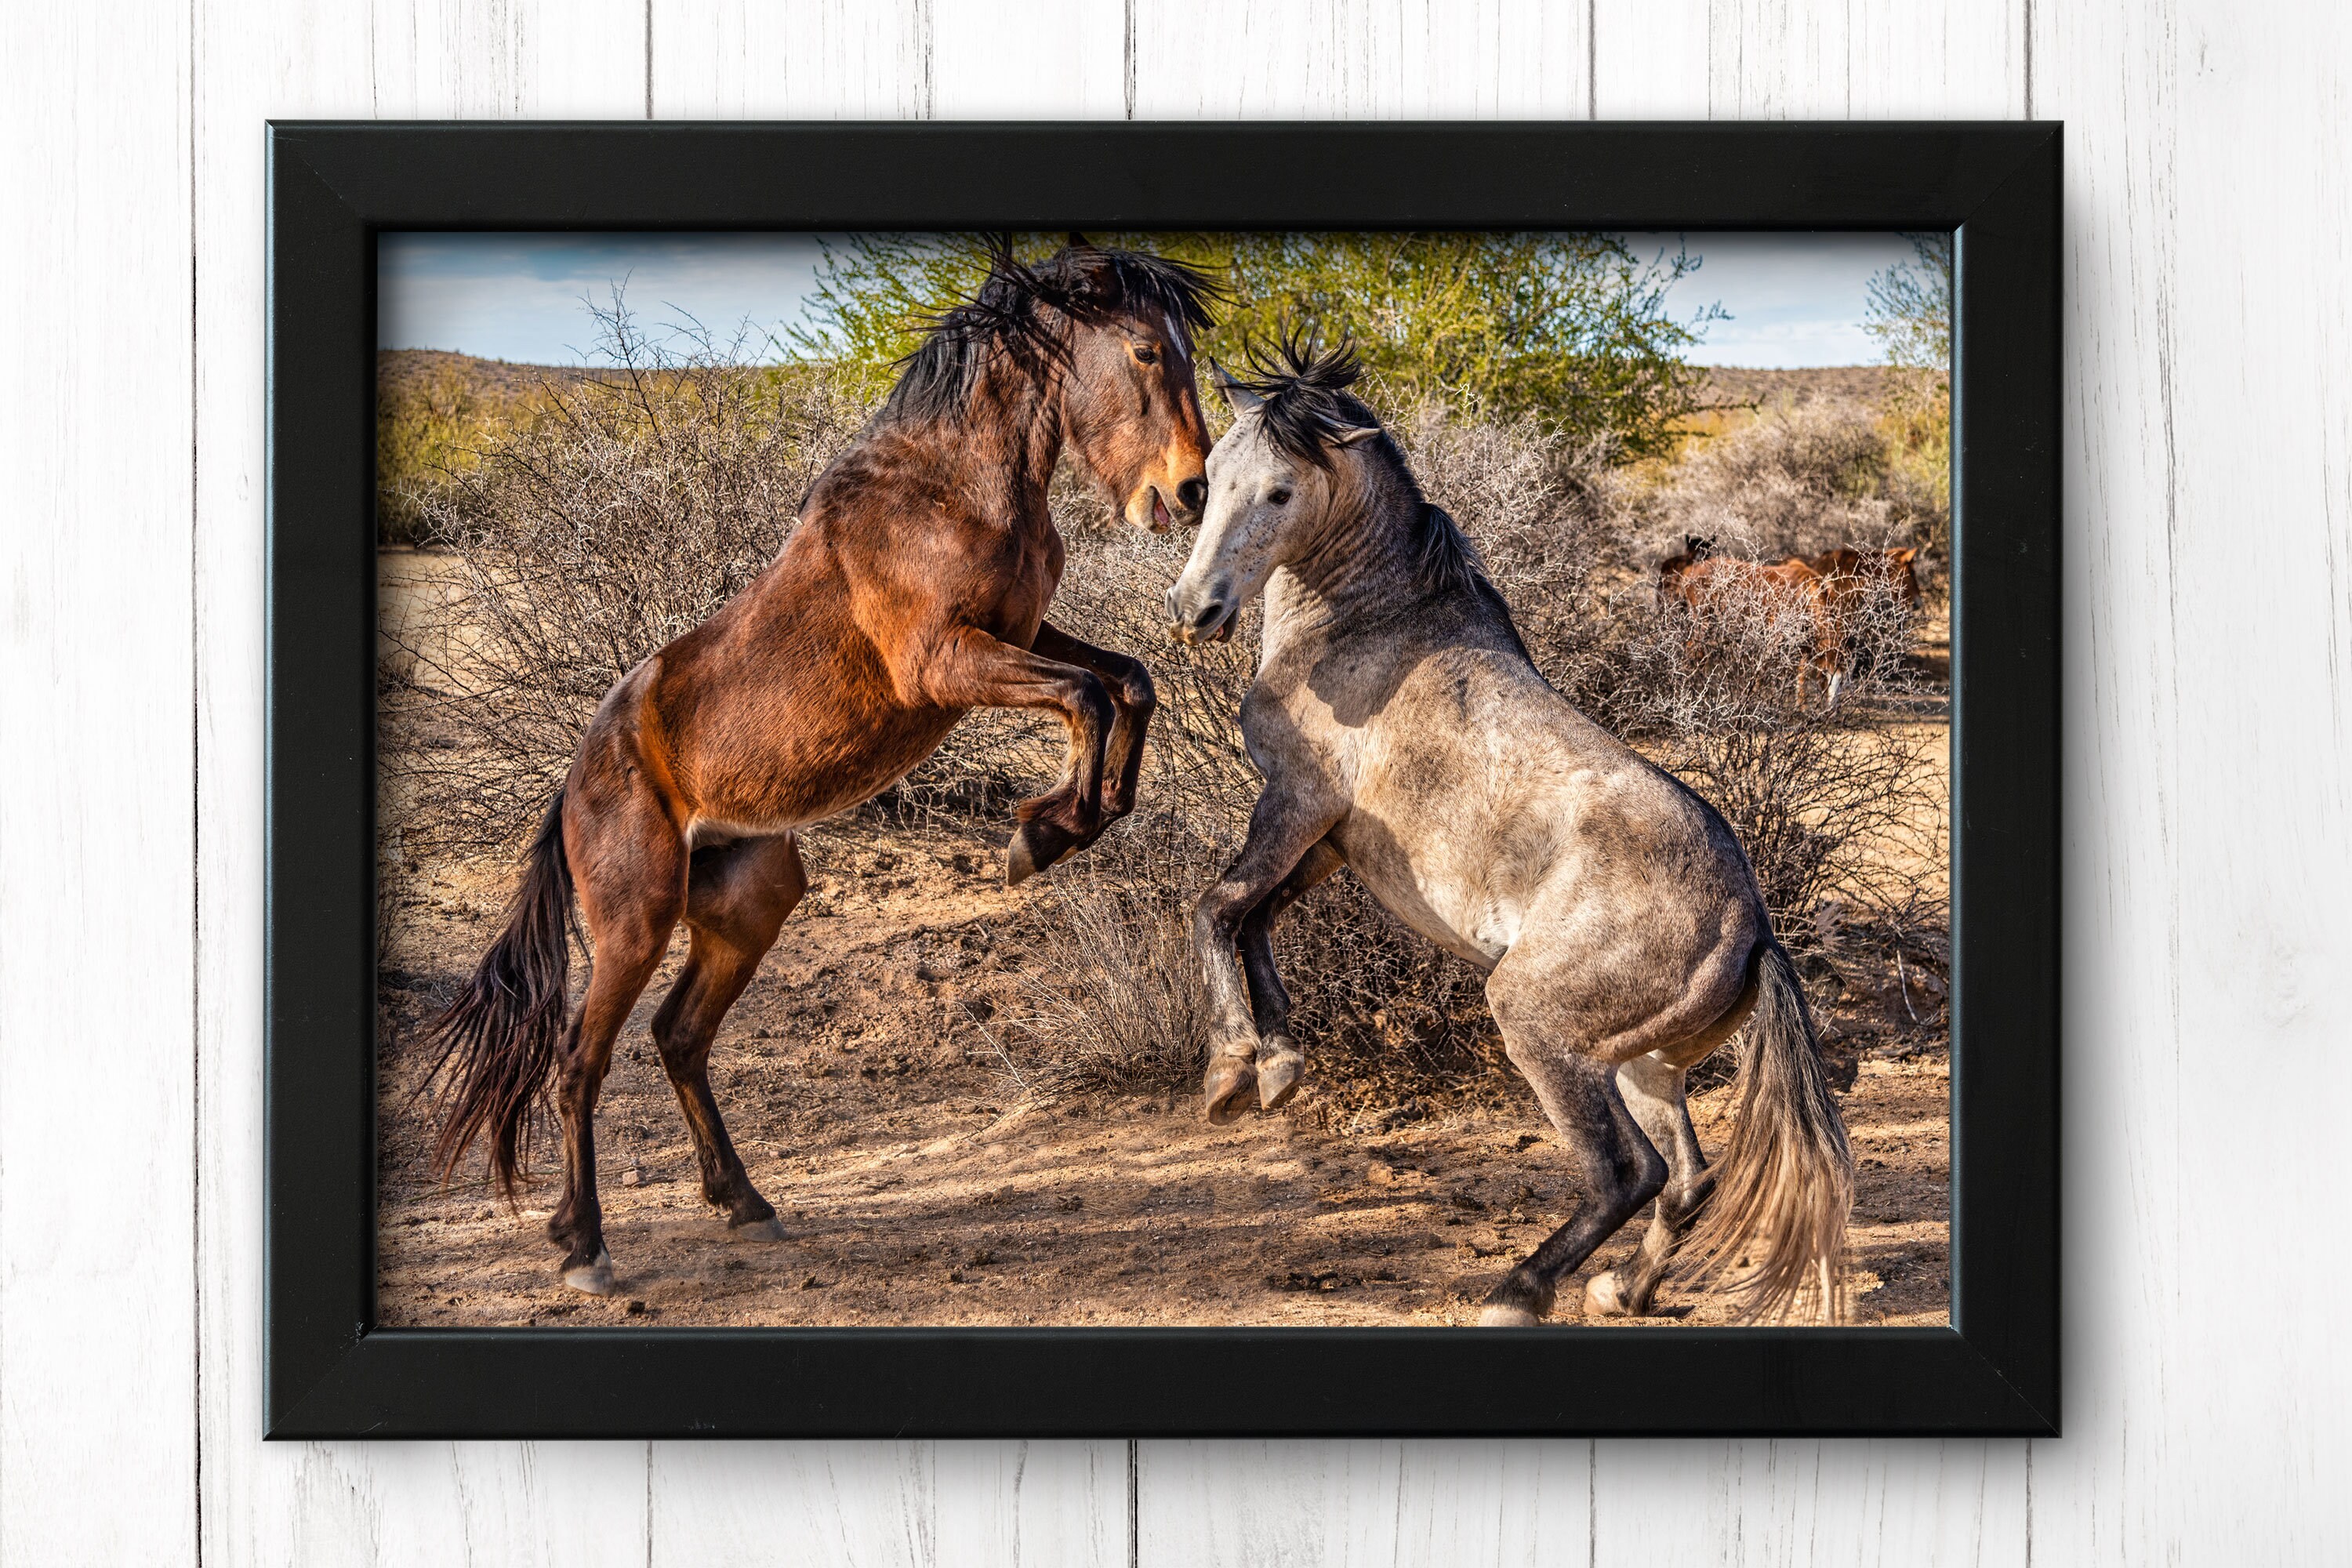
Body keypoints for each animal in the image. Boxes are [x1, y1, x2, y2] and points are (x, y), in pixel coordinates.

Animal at [428, 240, 1218, 1296]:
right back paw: (585, 1246)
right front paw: (1041, 834)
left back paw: (746, 1203)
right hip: (634, 921)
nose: (1193, 491)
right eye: (1142, 349)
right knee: (577, 1060)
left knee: (679, 1035)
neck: (952, 484)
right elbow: (1093, 697)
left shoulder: (1020, 632)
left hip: (751, 900)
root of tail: (572, 786)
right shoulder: (945, 662)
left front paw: (1060, 824)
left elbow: (1129, 682)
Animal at [1163, 340, 1852, 1324]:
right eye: (1211, 476)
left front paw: (1230, 1070)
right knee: (1689, 1179)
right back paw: (1621, 1290)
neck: (1371, 623)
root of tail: (1753, 930)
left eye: (1280, 492)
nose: (1194, 608)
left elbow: (1216, 907)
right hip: (1641, 1065)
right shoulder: (1329, 840)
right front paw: (1280, 1063)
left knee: (1627, 1172)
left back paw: (1516, 1290)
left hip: (1537, 1026)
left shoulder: (1295, 802)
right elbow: (1257, 918)